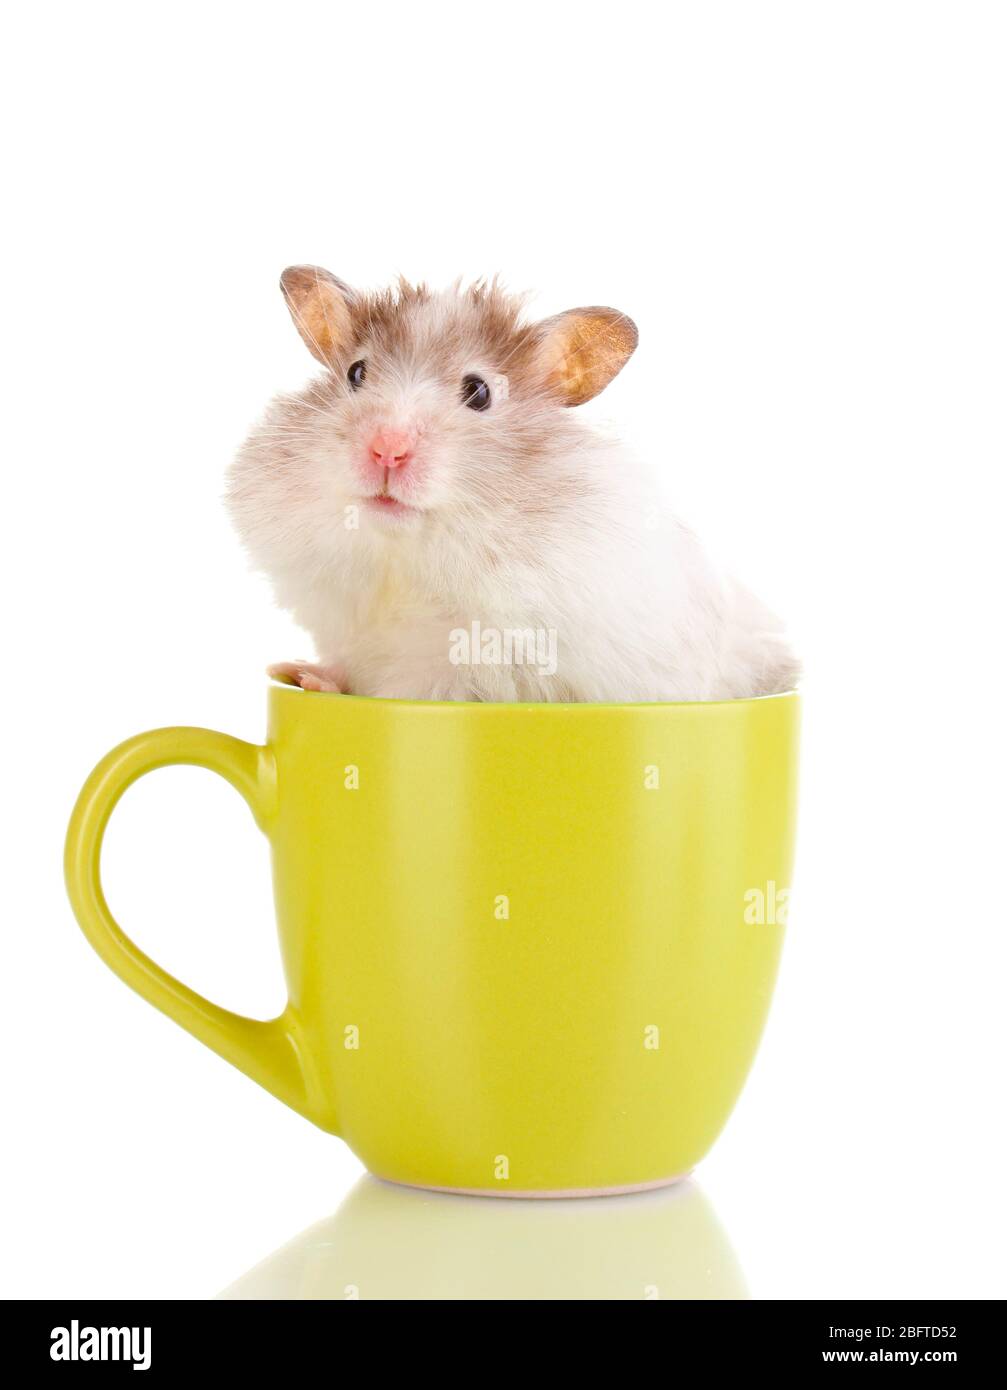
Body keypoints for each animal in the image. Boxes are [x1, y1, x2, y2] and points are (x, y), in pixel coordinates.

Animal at [226, 267, 798, 702]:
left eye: (479, 392)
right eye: (355, 373)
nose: (386, 449)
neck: (414, 562)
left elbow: (423, 685)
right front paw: (300, 674)